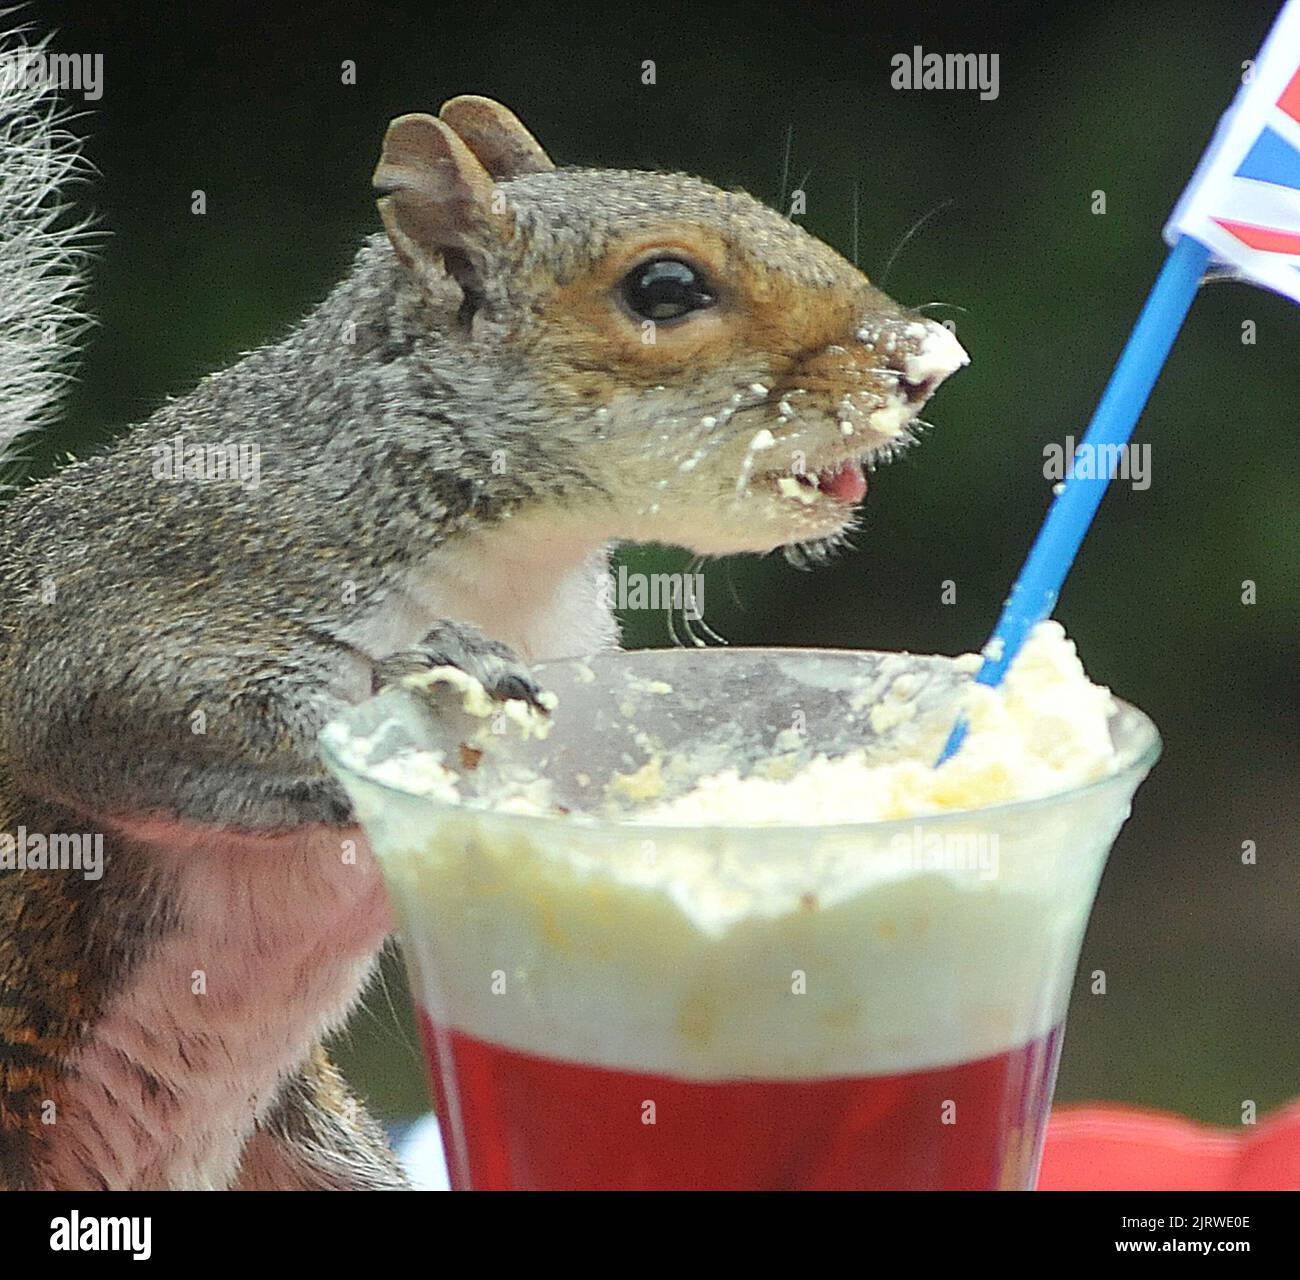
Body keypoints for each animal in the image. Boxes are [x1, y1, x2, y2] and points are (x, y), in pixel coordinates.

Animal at [0, 29, 967, 1190]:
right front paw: (424, 669)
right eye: (665, 287)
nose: (926, 362)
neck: (515, 561)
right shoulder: (140, 591)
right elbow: (100, 712)